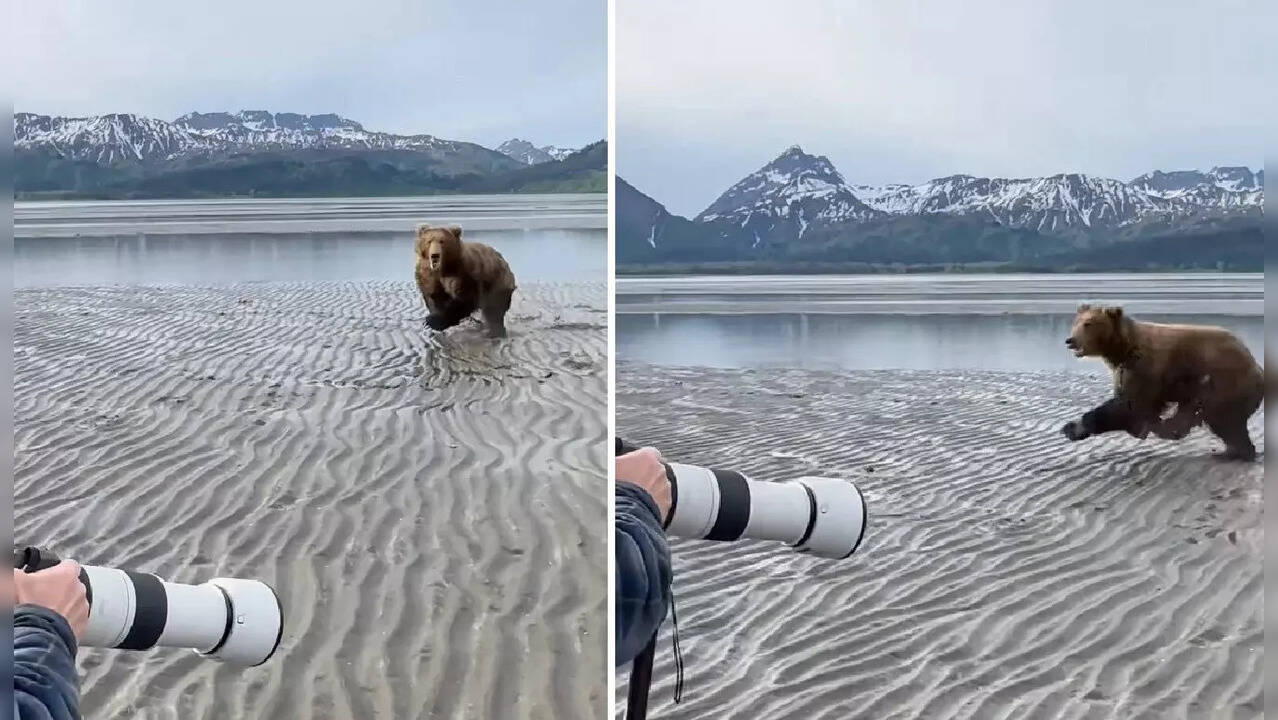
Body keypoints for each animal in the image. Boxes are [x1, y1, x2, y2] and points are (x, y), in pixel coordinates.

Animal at [1060, 304, 1263, 461]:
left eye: (1088, 324)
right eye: (1076, 322)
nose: (1070, 340)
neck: (1122, 350)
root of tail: (1256, 365)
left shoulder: (1144, 369)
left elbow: (1129, 405)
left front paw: (1072, 427)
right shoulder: (1125, 371)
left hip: (1224, 383)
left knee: (1226, 421)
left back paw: (1233, 452)